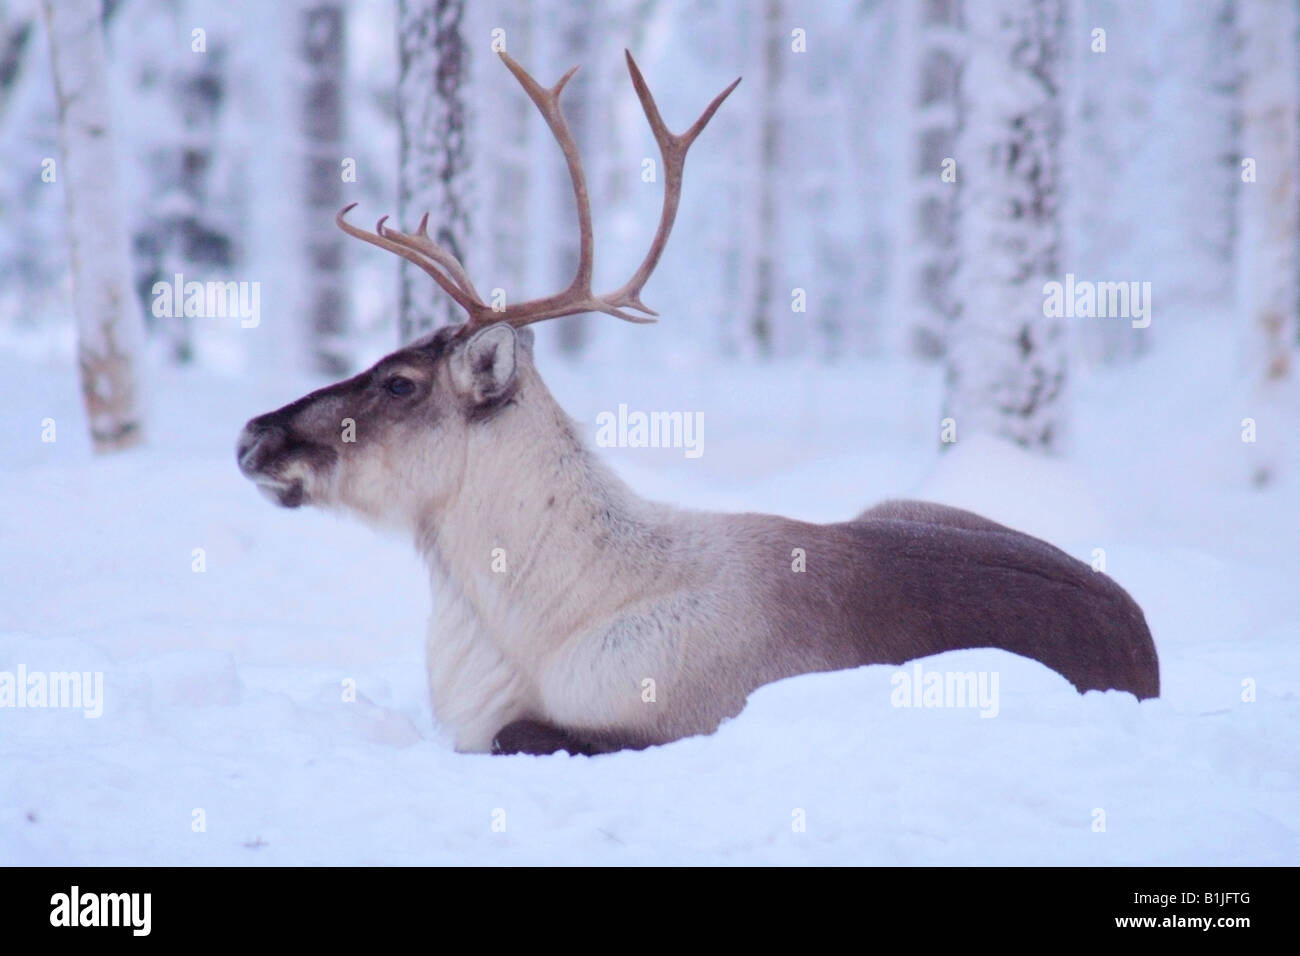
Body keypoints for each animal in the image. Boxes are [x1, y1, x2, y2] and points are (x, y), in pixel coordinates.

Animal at [236, 50, 1160, 757]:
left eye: (400, 383)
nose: (252, 433)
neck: (523, 619)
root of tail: (1147, 648)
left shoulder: (665, 720)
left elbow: (515, 733)